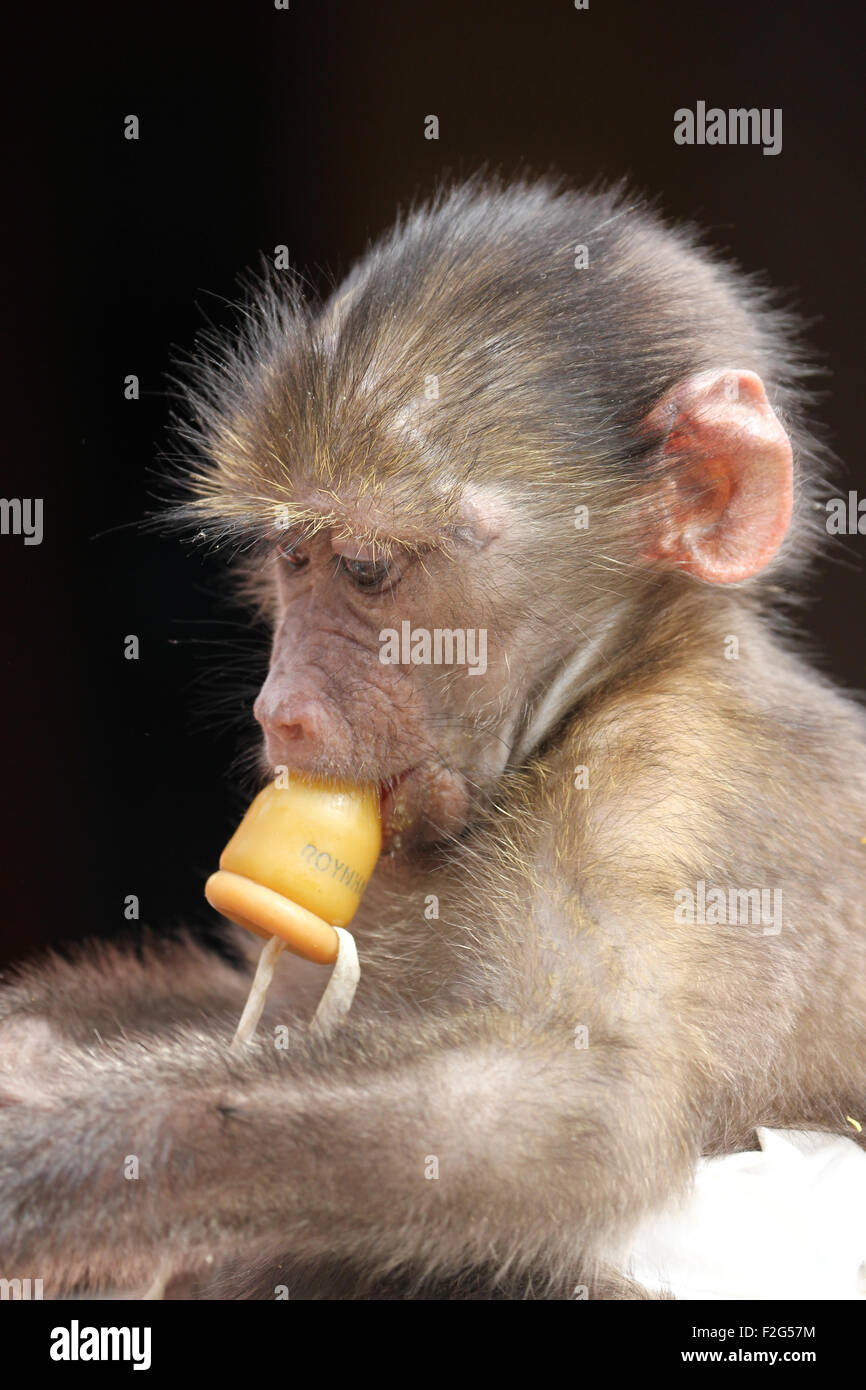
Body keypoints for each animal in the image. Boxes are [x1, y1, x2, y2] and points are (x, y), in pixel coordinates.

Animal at [0, 176, 864, 1301]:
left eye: (367, 570)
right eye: (292, 557)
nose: (281, 711)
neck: (611, 674)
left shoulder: (661, 789)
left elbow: (568, 1112)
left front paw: (42, 1147)